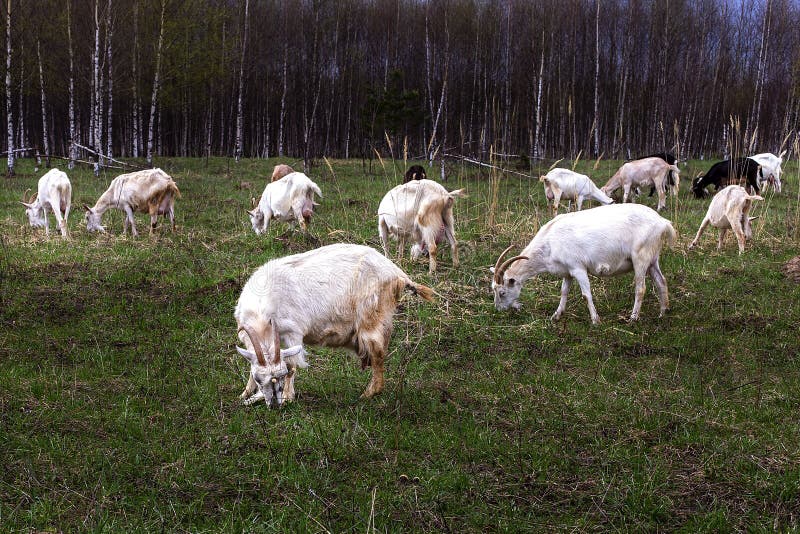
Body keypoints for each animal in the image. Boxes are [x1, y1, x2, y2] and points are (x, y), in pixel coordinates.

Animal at [234, 243, 434, 406]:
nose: (274, 404)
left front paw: (287, 397)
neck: (262, 308)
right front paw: (245, 394)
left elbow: (292, 365)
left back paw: (367, 394)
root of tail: (398, 273)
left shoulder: (293, 332)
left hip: (371, 317)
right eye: (259, 379)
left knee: (377, 353)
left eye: (280, 376)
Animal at [491, 203, 676, 324]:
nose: (498, 309)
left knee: (641, 288)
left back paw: (633, 318)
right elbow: (564, 291)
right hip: (653, 259)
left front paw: (595, 321)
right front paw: (556, 316)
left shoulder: (578, 268)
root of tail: (662, 222)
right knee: (661, 281)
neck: (549, 242)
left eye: (502, 292)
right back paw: (663, 313)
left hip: (641, 257)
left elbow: (586, 294)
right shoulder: (567, 271)